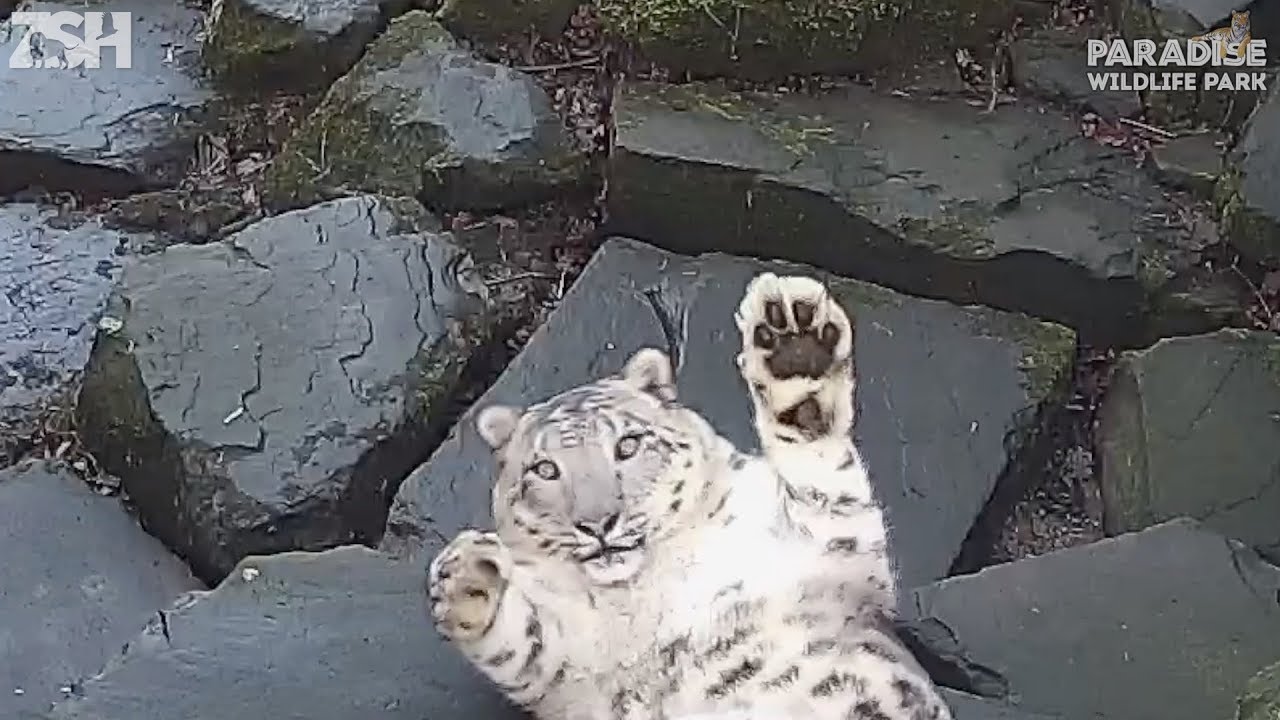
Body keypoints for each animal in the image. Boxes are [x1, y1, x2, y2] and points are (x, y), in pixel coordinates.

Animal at [426, 272, 954, 720]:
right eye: (545, 469)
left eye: (628, 444)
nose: (598, 523)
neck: (647, 591)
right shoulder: (566, 662)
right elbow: (522, 639)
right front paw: (466, 569)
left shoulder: (835, 562)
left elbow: (825, 481)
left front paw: (794, 345)